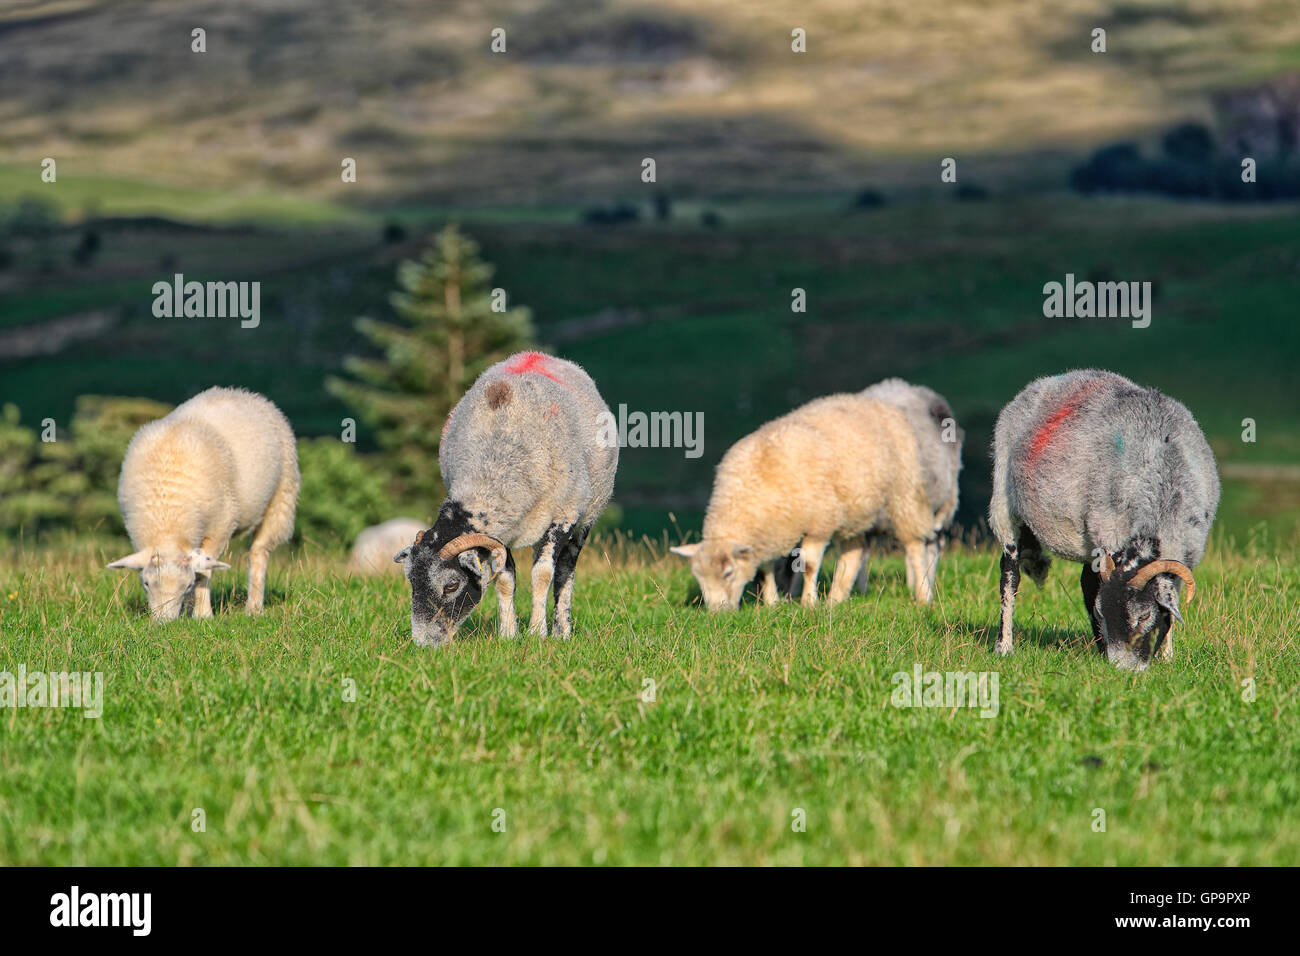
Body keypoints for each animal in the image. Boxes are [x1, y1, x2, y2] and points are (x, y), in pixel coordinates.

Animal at [107, 387, 299, 622]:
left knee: (259, 553)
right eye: (146, 584)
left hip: (281, 497)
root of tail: (243, 393)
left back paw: (253, 608)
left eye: (187, 586)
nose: (164, 623)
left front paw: (202, 615)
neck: (167, 517)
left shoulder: (221, 524)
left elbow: (204, 573)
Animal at [394, 351, 618, 646]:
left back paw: (561, 631)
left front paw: (537, 632)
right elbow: (504, 578)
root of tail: (536, 355)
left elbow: (543, 574)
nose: (423, 644)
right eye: (411, 581)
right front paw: (509, 634)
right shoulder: (502, 531)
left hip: (586, 515)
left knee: (565, 571)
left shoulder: (562, 516)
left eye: (452, 585)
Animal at [670, 393, 936, 610]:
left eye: (728, 573)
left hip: (904, 490)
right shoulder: (770, 532)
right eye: (699, 577)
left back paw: (923, 596)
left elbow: (808, 565)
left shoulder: (819, 522)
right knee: (854, 550)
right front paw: (772, 603)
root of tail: (874, 402)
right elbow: (765, 570)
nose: (717, 613)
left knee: (914, 543)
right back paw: (836, 598)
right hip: (855, 508)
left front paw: (809, 602)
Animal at [773, 378, 963, 600]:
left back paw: (926, 584)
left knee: (932, 545)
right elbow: (860, 555)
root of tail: (911, 387)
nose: (783, 592)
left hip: (942, 504)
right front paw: (860, 591)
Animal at [989, 369, 1220, 670]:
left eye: (1144, 616)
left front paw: (1167, 656)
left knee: (1086, 581)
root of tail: (1043, 382)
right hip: (1004, 505)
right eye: (1102, 612)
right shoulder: (1110, 533)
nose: (1123, 669)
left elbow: (1170, 603)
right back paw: (1005, 646)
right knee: (1010, 575)